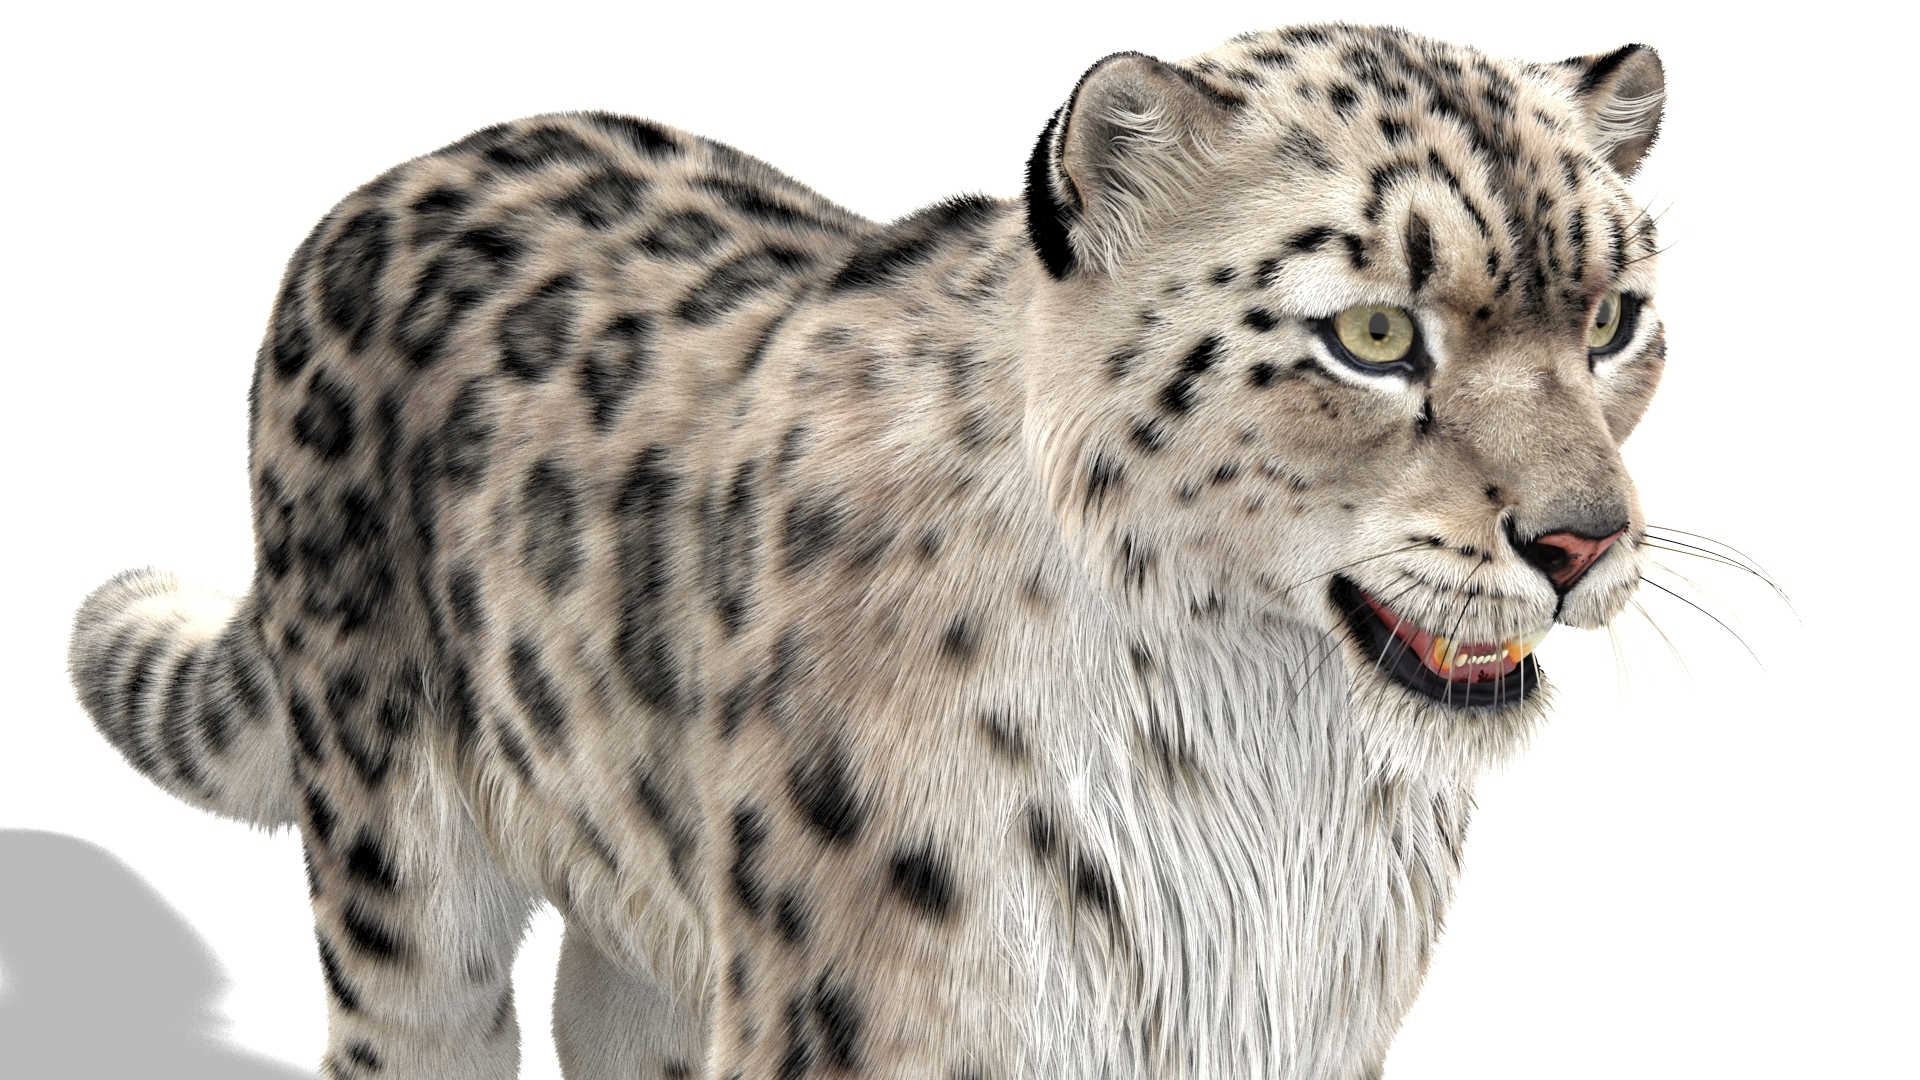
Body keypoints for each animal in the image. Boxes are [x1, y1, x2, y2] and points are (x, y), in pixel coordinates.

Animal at [67, 23, 1669, 1080]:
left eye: (1613, 319)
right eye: (1377, 333)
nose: (1580, 541)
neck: (1266, 781)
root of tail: (395, 178)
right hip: (399, 874)